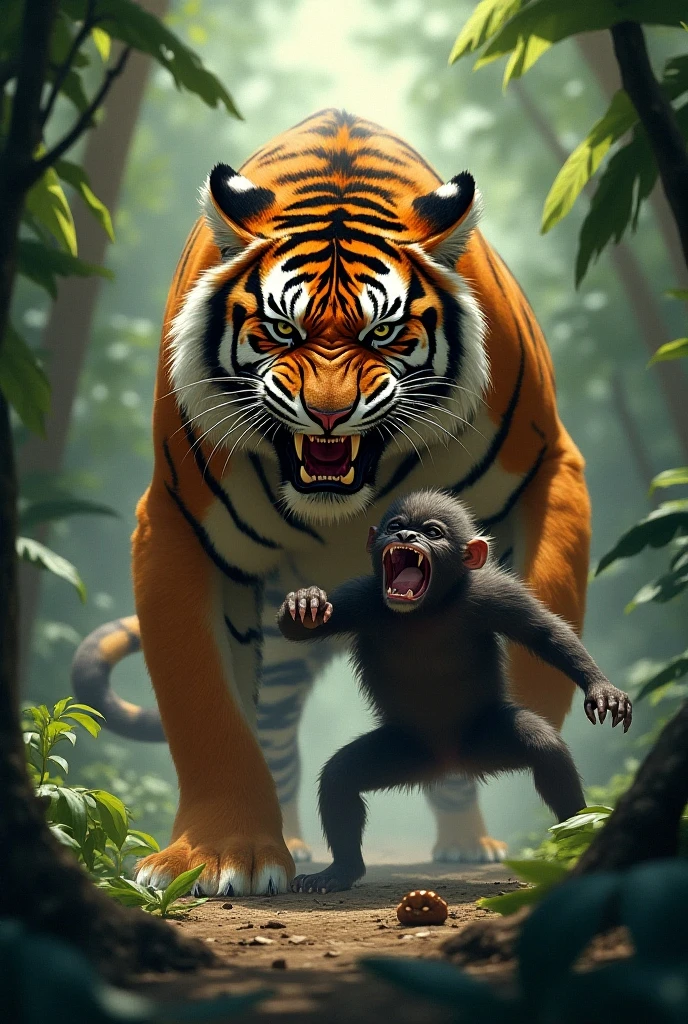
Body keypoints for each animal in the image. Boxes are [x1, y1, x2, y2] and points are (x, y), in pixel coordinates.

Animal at [71, 109, 591, 896]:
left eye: (384, 331)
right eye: (282, 329)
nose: (326, 413)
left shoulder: (555, 471)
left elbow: (548, 610)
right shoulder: (172, 525)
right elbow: (203, 704)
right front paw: (221, 856)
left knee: (446, 774)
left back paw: (466, 841)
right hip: (280, 650)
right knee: (281, 741)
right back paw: (295, 842)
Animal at [276, 489, 632, 894]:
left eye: (432, 532)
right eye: (396, 526)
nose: (407, 536)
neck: (427, 608)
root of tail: (449, 764)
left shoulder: (497, 593)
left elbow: (546, 634)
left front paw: (602, 688)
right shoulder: (358, 597)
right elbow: (299, 629)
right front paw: (305, 601)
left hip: (482, 740)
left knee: (544, 750)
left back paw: (576, 837)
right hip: (408, 751)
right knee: (340, 779)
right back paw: (339, 871)